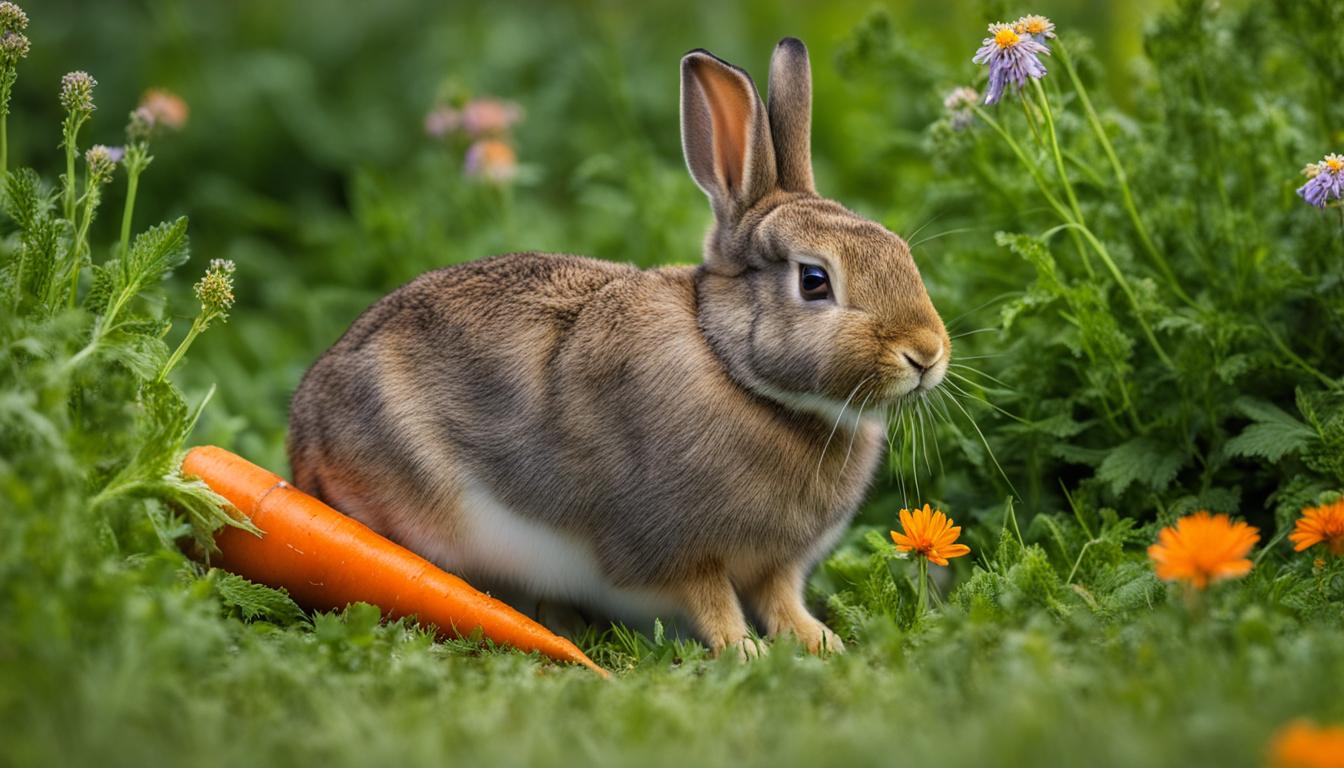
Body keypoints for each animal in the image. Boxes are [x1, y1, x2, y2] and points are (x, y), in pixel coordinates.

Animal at [287, 37, 950, 656]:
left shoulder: (776, 564)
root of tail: (306, 438)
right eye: (814, 280)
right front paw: (745, 652)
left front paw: (822, 643)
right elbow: (712, 602)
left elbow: (782, 600)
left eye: (899, 250)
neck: (734, 371)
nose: (926, 355)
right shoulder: (677, 550)